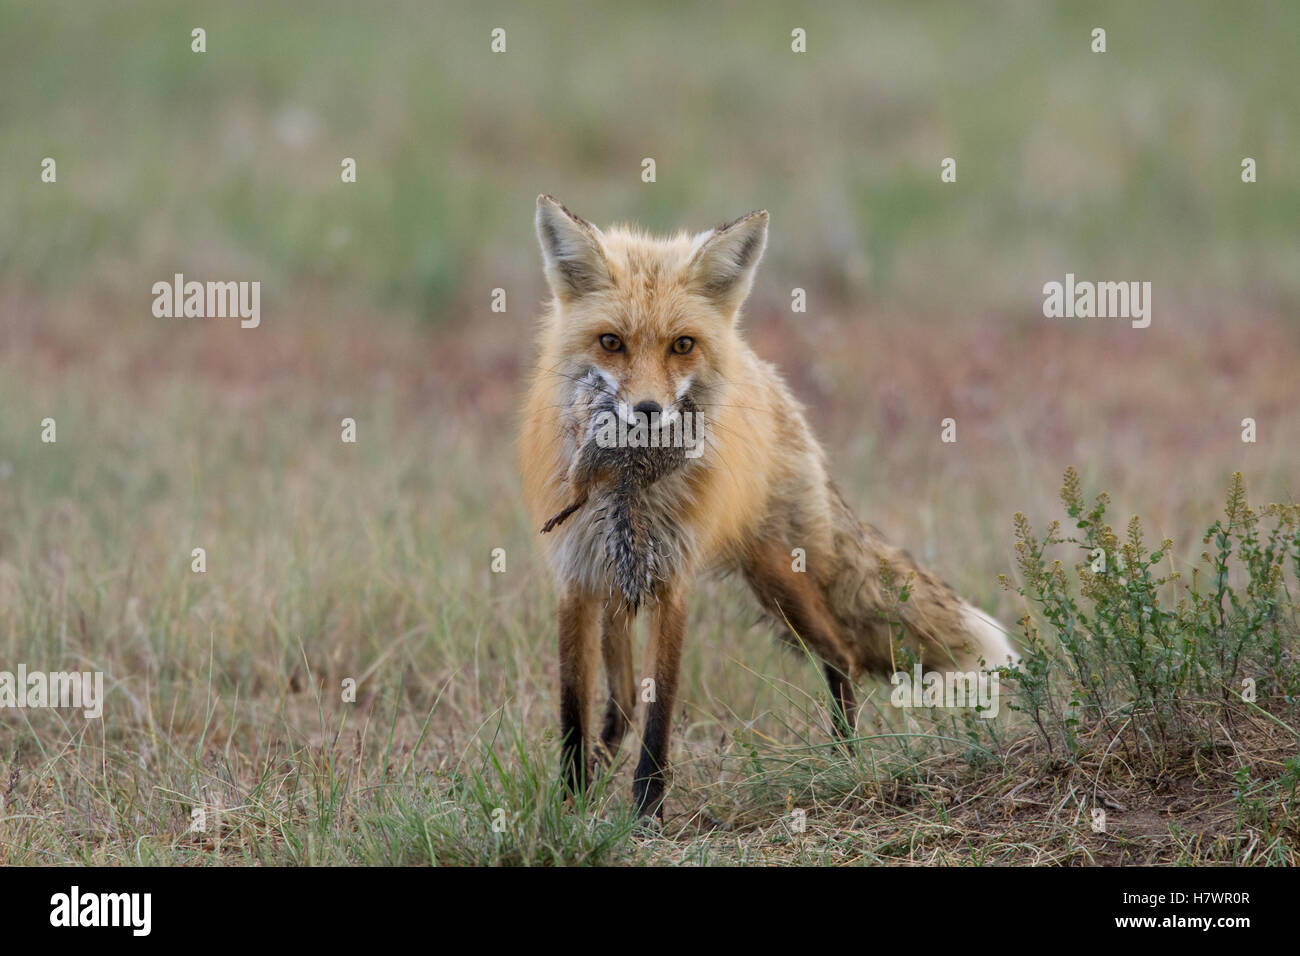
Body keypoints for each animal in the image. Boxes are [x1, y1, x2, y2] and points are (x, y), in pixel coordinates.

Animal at [520, 195, 1018, 819]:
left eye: (682, 344)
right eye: (611, 342)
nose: (649, 413)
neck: (631, 485)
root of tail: (767, 377)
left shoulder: (673, 583)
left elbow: (661, 712)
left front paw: (646, 813)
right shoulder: (575, 580)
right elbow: (573, 709)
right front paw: (569, 805)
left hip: (780, 580)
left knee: (844, 656)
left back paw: (843, 762)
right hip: (626, 591)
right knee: (623, 701)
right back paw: (597, 777)